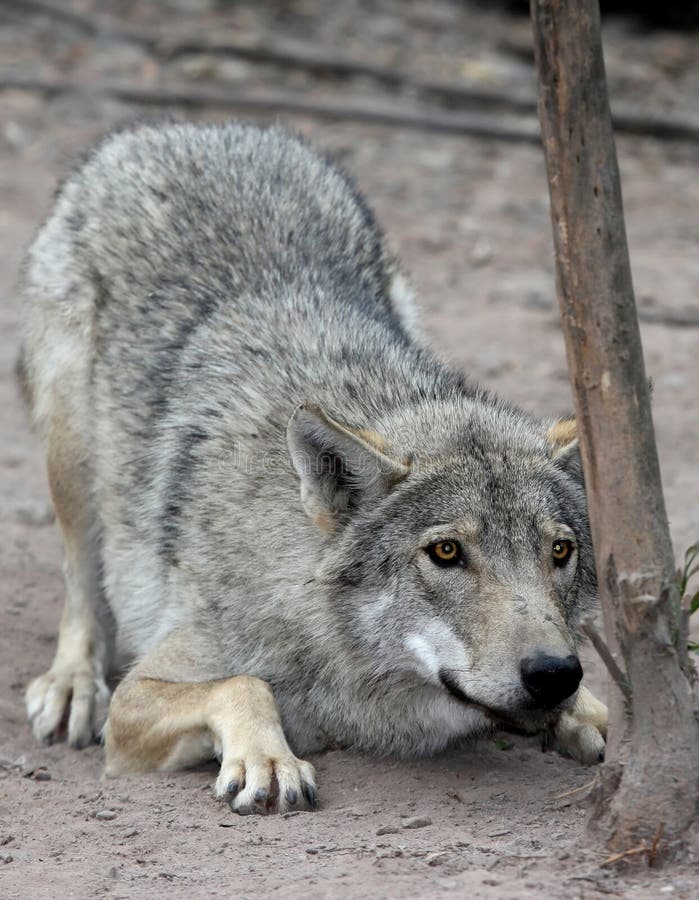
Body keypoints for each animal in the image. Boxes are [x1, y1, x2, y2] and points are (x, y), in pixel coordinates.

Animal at [19, 121, 607, 814]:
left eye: (560, 551)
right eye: (446, 553)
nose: (553, 673)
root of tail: (189, 127)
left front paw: (583, 711)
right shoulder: (141, 698)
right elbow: (244, 683)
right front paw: (268, 759)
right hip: (72, 455)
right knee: (81, 579)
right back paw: (72, 684)